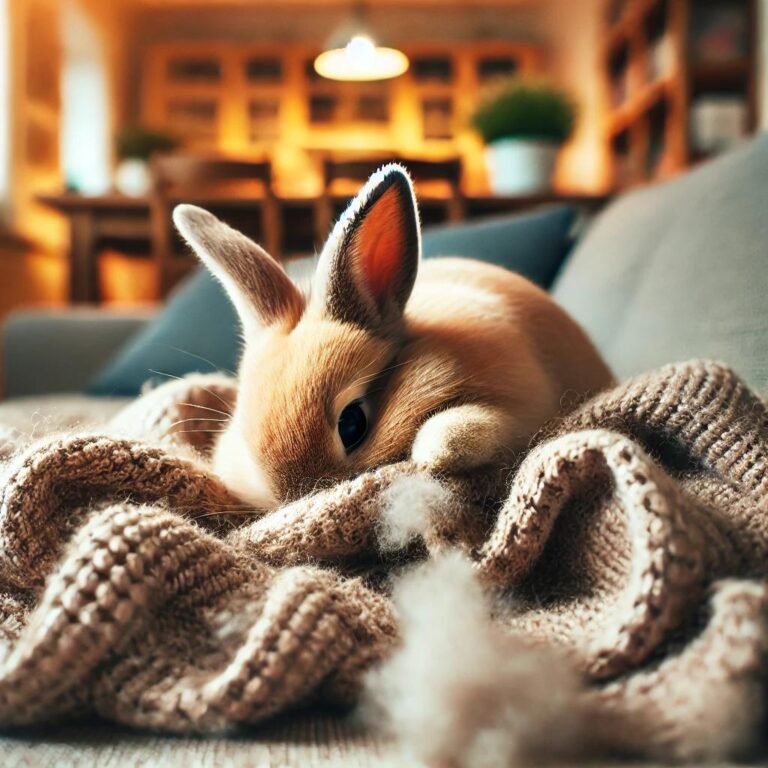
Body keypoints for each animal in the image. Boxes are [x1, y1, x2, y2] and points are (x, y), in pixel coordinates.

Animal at [173, 164, 614, 510]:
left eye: (353, 425)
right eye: (244, 434)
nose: (300, 496)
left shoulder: (521, 401)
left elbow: (461, 431)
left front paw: (436, 450)